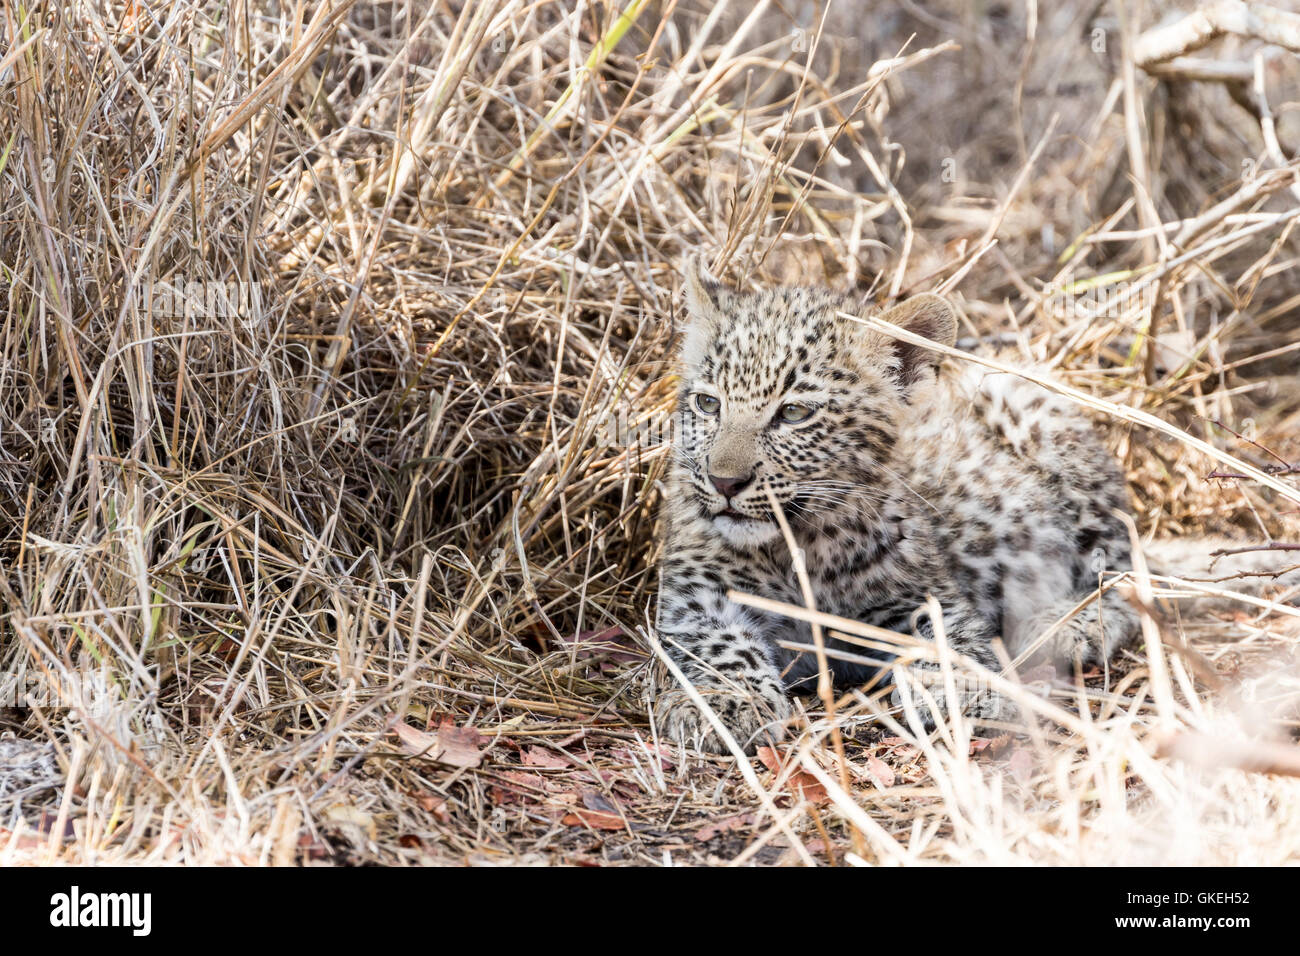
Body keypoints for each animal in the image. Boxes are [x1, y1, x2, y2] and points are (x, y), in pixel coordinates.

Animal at [654, 259, 1141, 753]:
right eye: (708, 404)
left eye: (793, 414)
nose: (724, 481)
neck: (801, 545)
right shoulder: (696, 596)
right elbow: (716, 644)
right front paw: (726, 700)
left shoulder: (923, 596)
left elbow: (950, 636)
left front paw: (962, 692)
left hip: (1035, 418)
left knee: (1124, 576)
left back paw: (1067, 626)